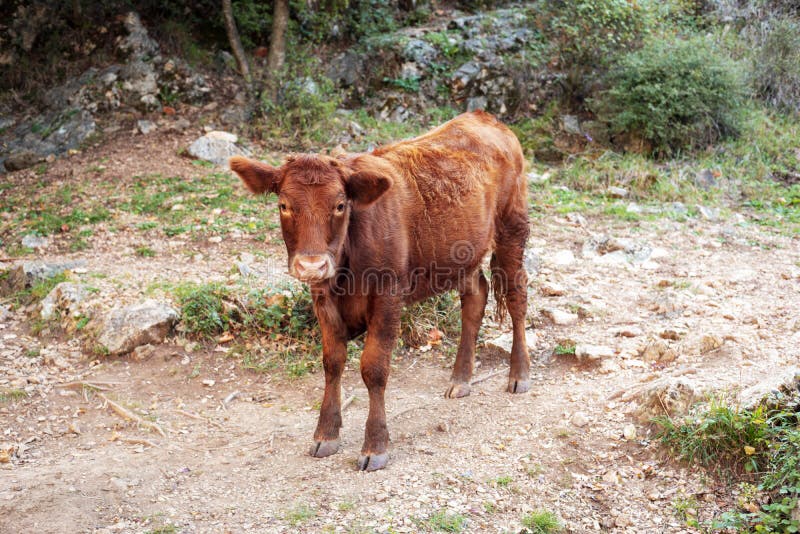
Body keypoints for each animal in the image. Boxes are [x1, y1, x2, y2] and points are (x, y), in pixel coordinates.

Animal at [230, 111, 530, 471]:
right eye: (284, 205)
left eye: (340, 205)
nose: (312, 266)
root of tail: (483, 118)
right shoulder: (323, 299)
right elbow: (332, 361)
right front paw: (326, 434)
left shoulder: (388, 296)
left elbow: (373, 368)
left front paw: (375, 445)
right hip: (461, 253)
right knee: (475, 296)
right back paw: (461, 380)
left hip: (512, 226)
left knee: (516, 298)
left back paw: (519, 375)